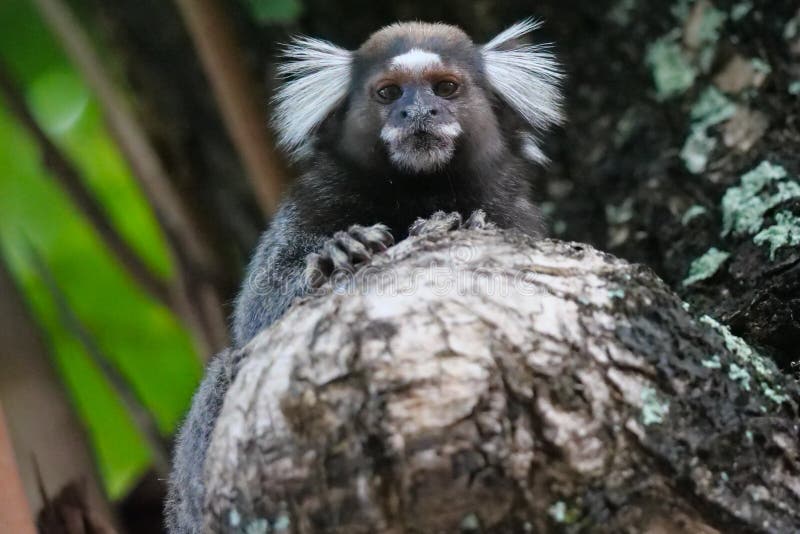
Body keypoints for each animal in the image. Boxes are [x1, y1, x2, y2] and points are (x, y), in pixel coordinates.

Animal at [166, 19, 563, 533]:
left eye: (446, 88)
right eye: (388, 92)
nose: (418, 111)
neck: (417, 191)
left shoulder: (516, 216)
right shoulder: (307, 206)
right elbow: (258, 311)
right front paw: (338, 254)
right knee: (228, 366)